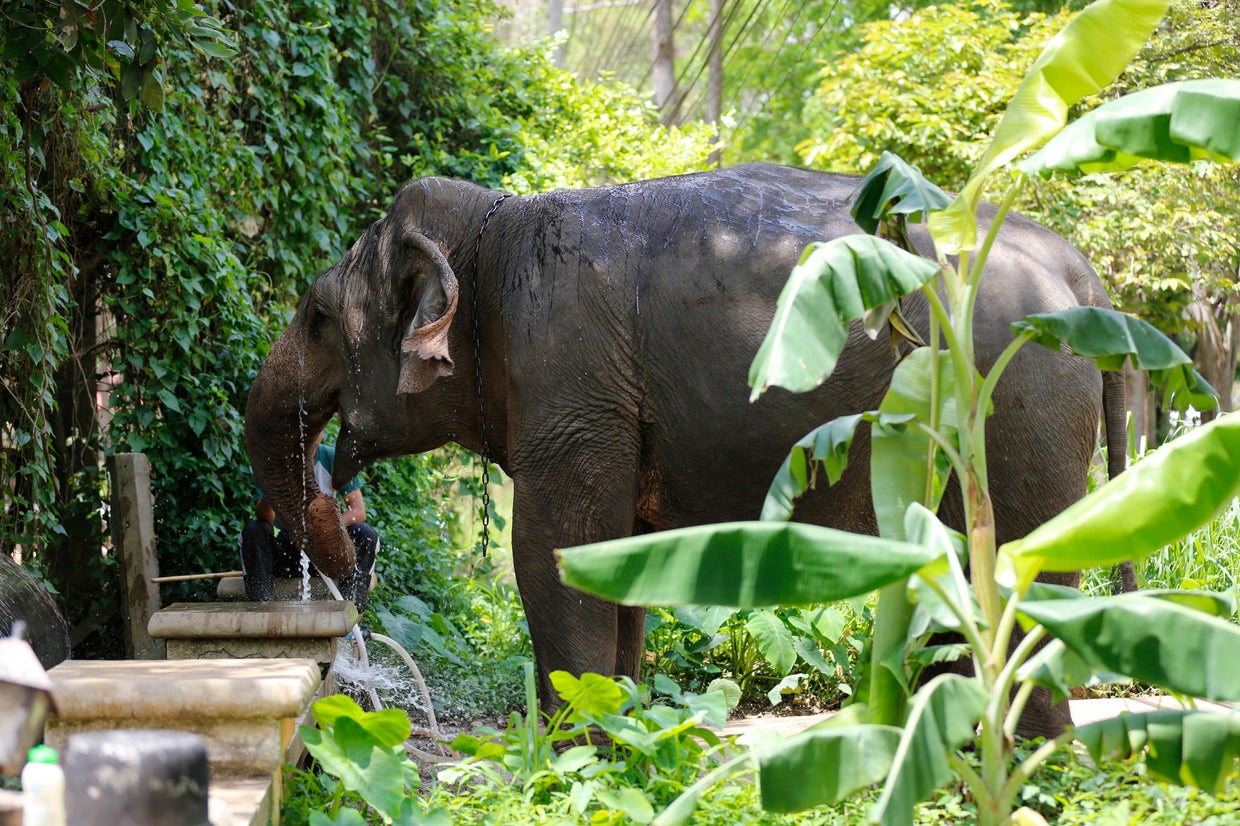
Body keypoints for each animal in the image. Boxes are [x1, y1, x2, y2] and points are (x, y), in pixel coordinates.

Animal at [245, 163, 1126, 738]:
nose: (340, 530)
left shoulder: (570, 379)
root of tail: (1089, 280)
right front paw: (620, 734)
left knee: (1012, 570)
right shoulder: (606, 408)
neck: (490, 230)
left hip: (1016, 395)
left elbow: (552, 550)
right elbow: (614, 555)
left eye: (317, 317)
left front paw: (571, 751)